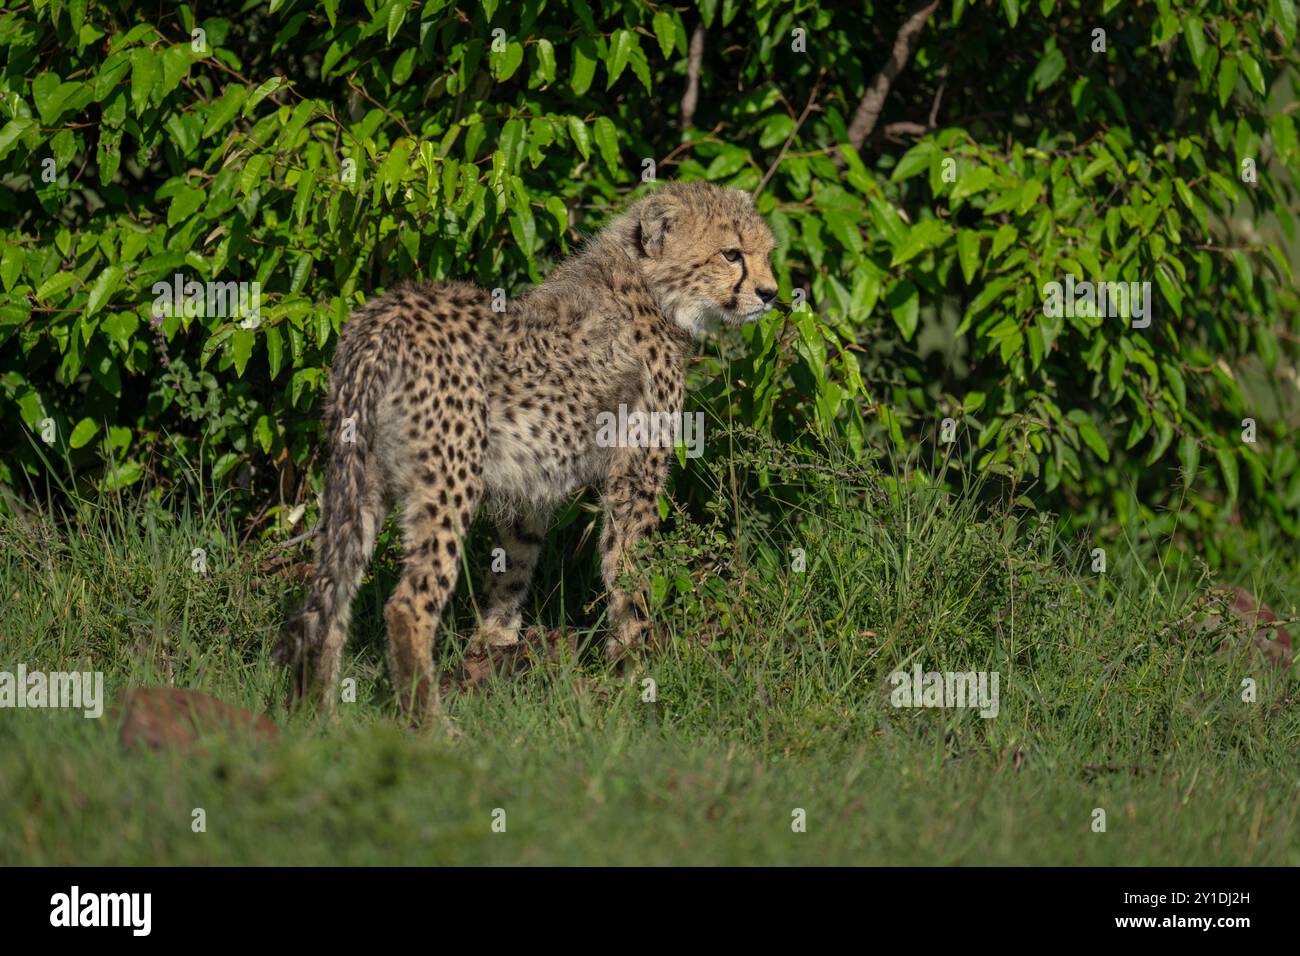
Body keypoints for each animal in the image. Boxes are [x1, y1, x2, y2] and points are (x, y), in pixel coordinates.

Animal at [274, 181, 778, 723]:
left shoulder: (532, 485)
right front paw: (632, 672)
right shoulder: (634, 473)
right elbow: (627, 571)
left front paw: (494, 649)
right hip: (449, 477)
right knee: (406, 605)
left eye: (766, 253)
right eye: (731, 254)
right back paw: (432, 726)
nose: (770, 293)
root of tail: (385, 315)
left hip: (358, 477)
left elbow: (512, 568)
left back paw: (323, 718)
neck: (648, 285)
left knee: (332, 594)